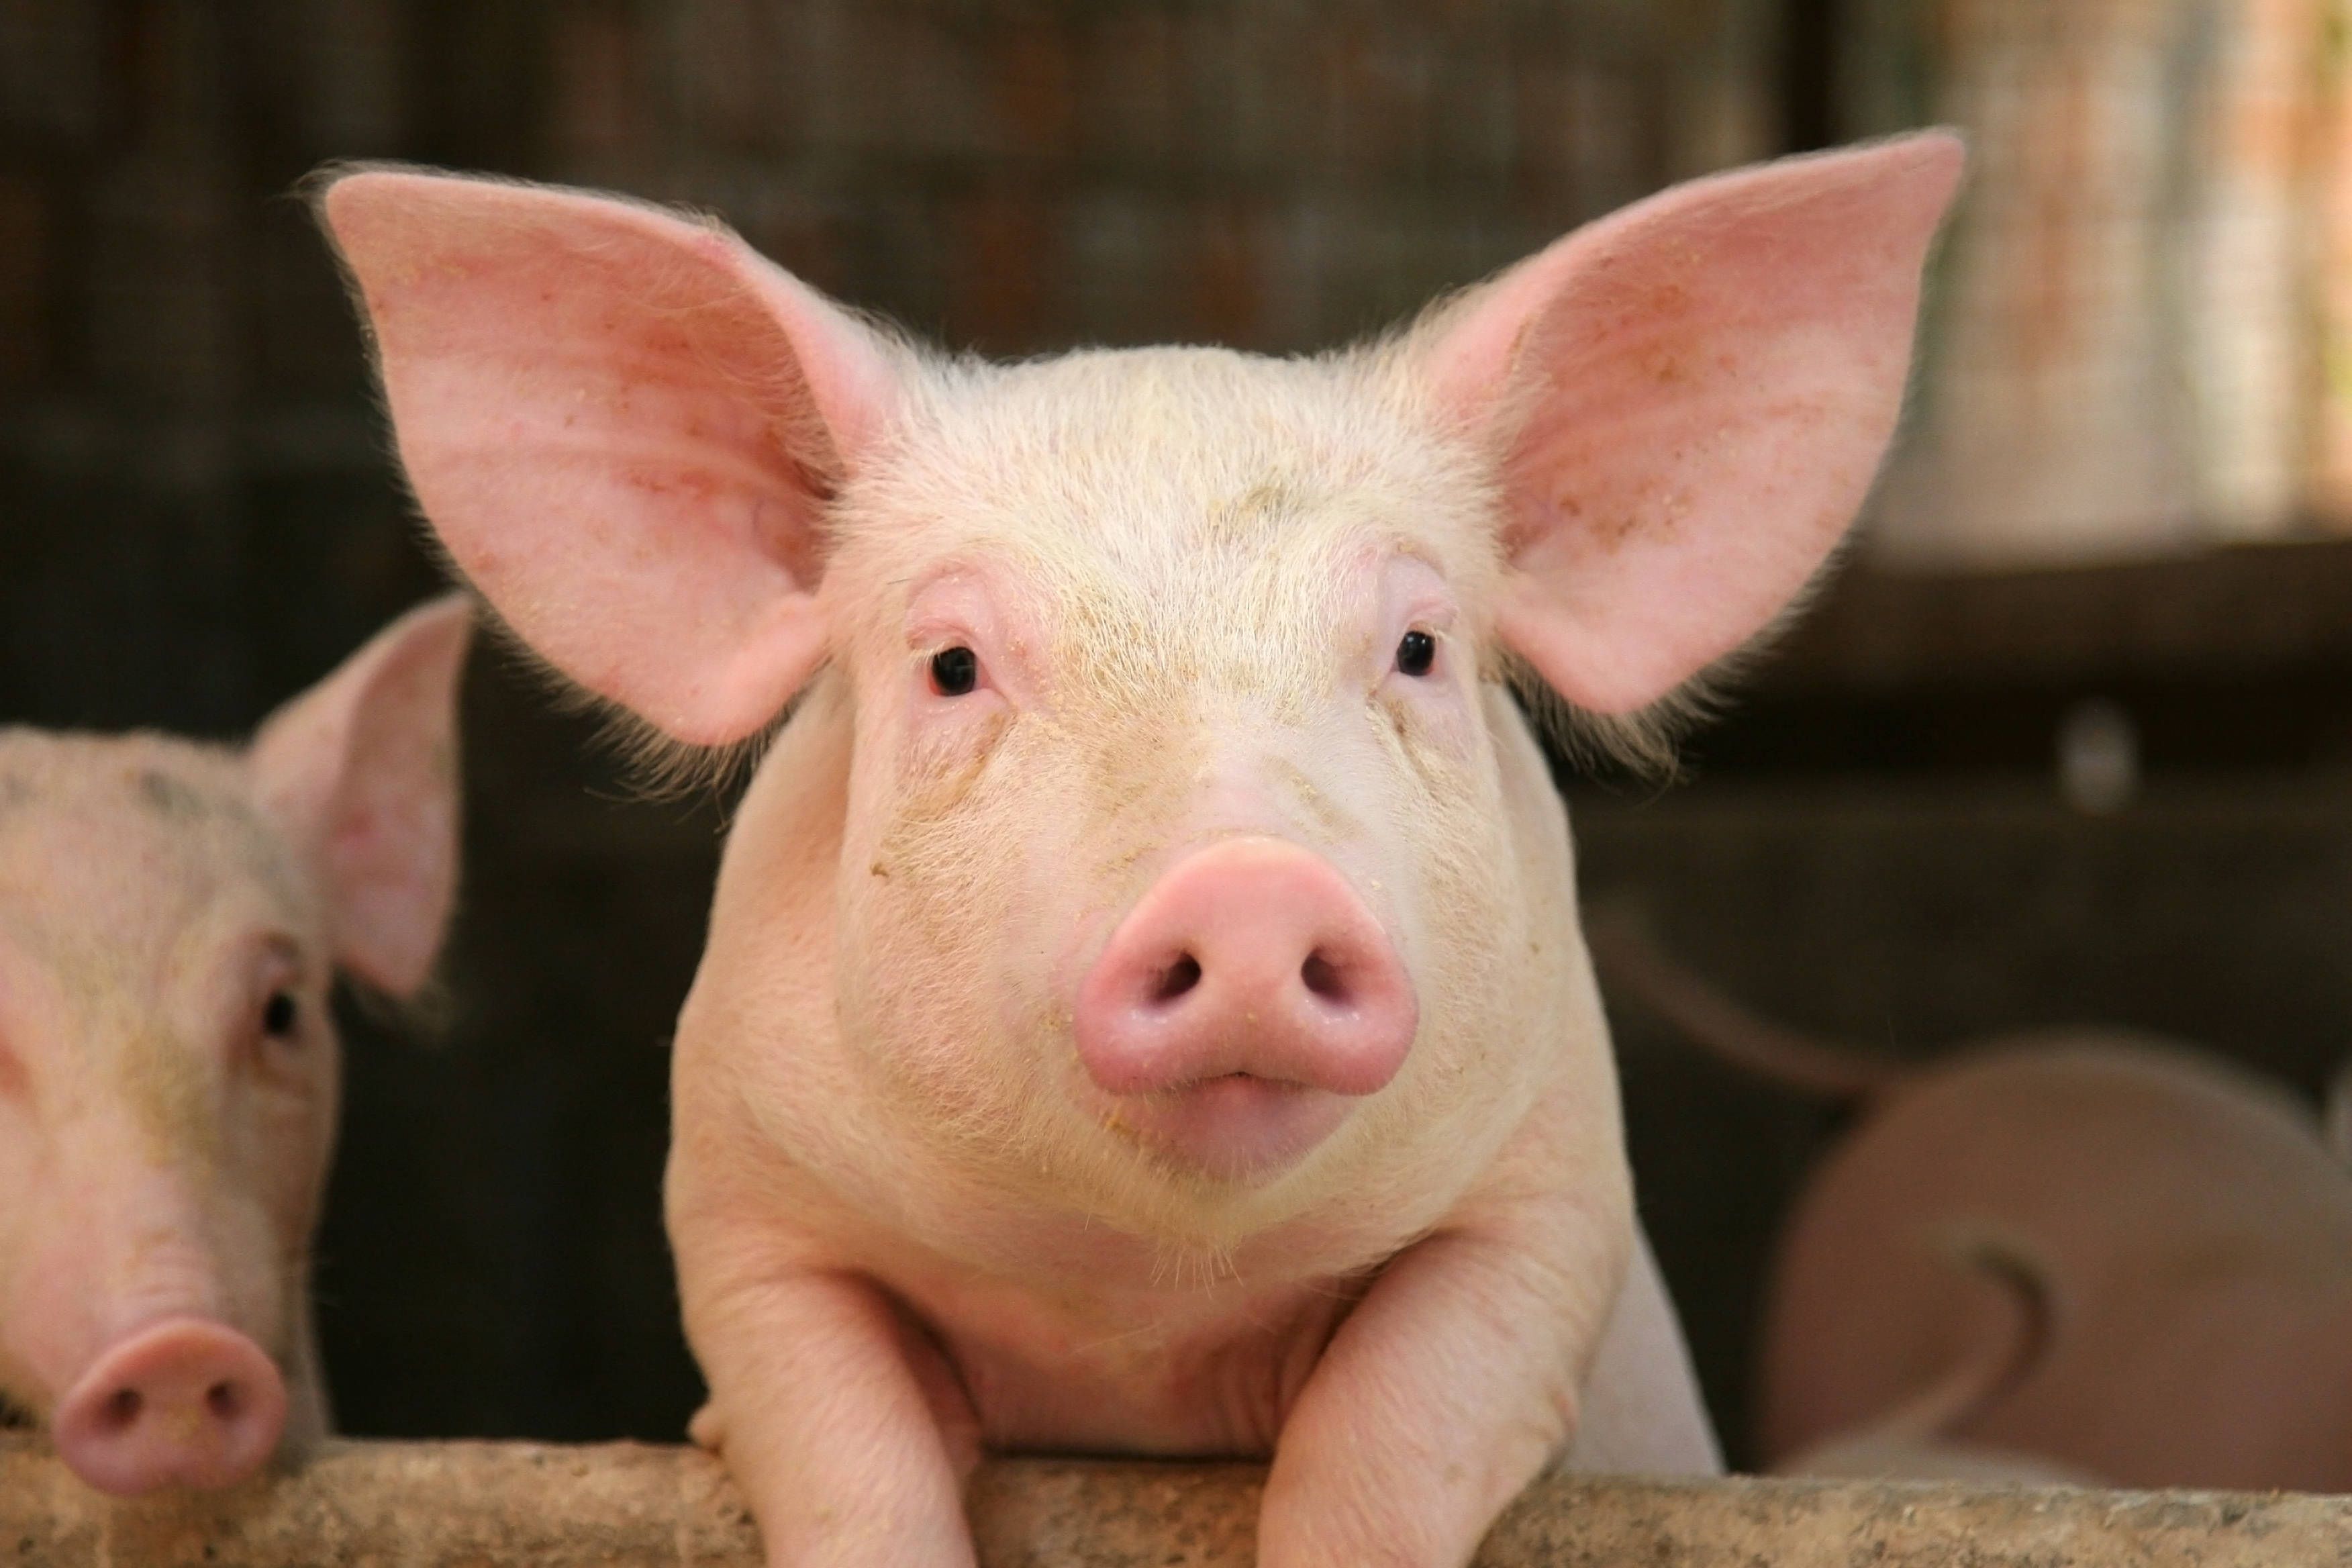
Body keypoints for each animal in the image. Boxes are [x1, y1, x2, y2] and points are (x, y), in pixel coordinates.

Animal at [316, 134, 1962, 1567]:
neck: (1142, 1313)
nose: (1246, 886)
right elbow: (840, 1446)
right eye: (953, 665)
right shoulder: (739, 1205)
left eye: (1418, 646)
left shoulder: (1553, 1195)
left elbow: (1394, 1429)